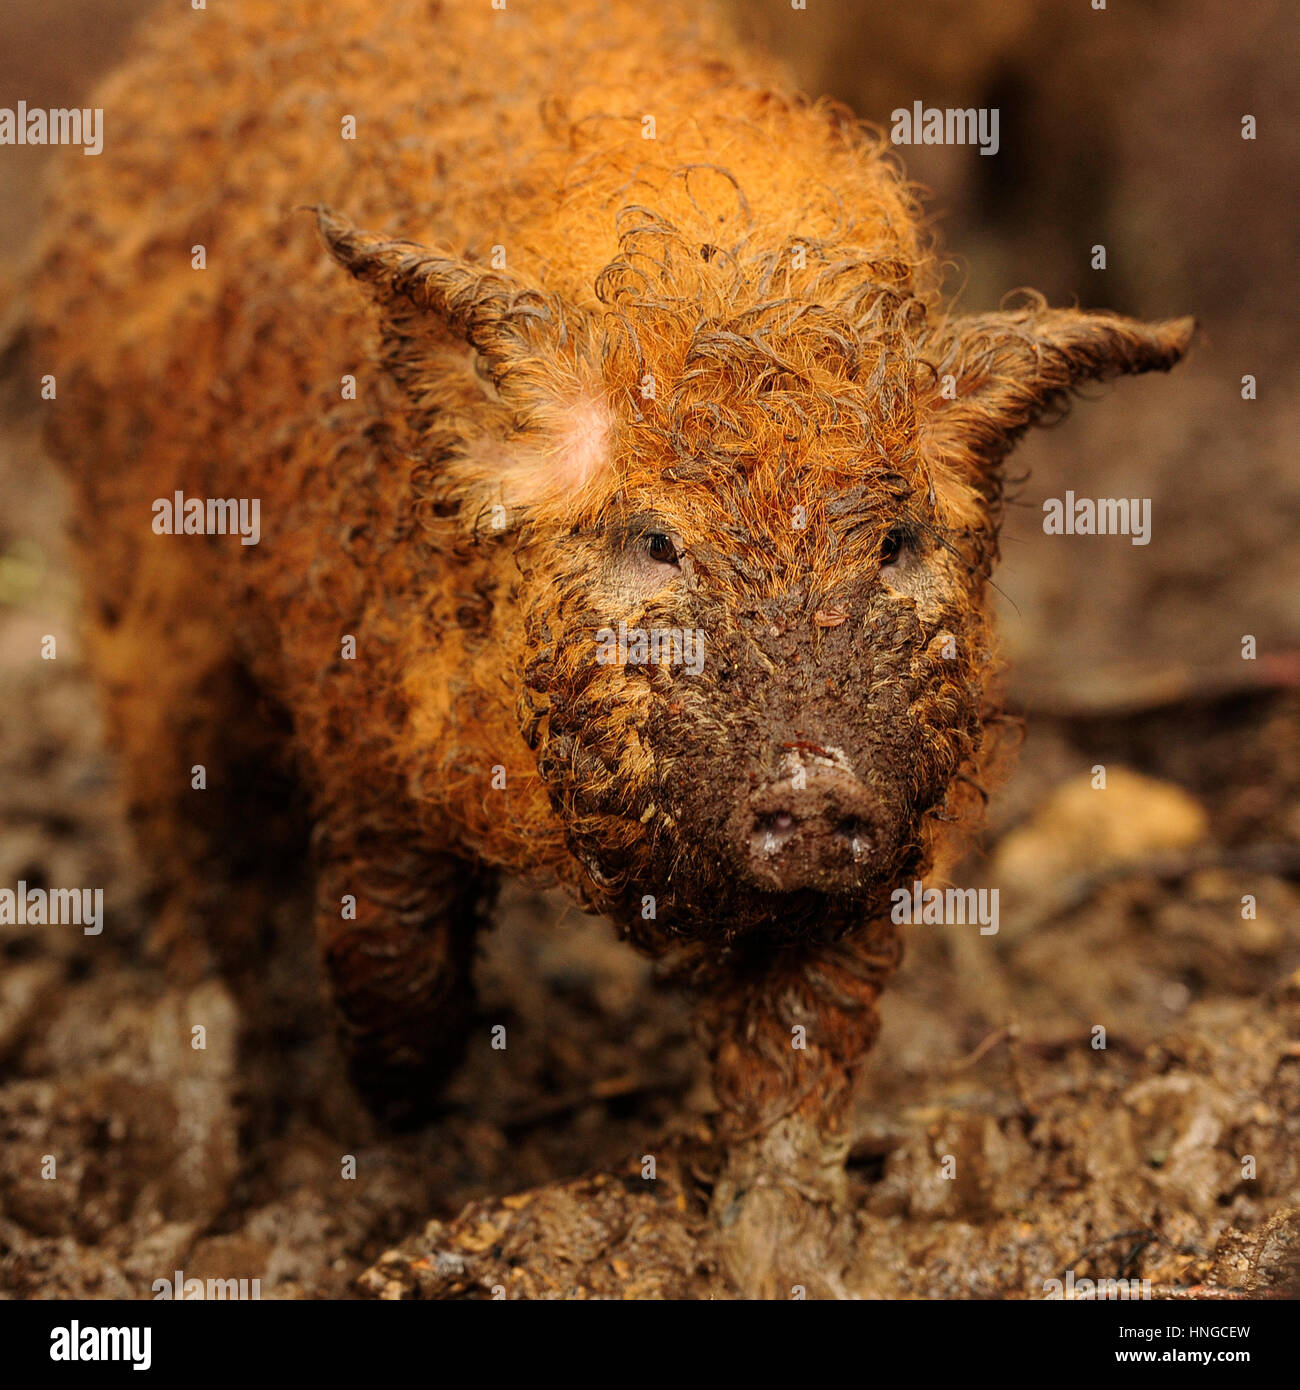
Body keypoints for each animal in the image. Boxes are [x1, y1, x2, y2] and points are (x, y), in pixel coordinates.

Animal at [30, 0, 1192, 1292]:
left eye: (896, 542)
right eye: (654, 542)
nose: (816, 780)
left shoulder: (883, 841)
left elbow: (798, 1062)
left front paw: (786, 1263)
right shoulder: (366, 725)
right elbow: (387, 944)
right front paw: (400, 1111)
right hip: (147, 599)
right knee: (192, 869)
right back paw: (185, 1169)